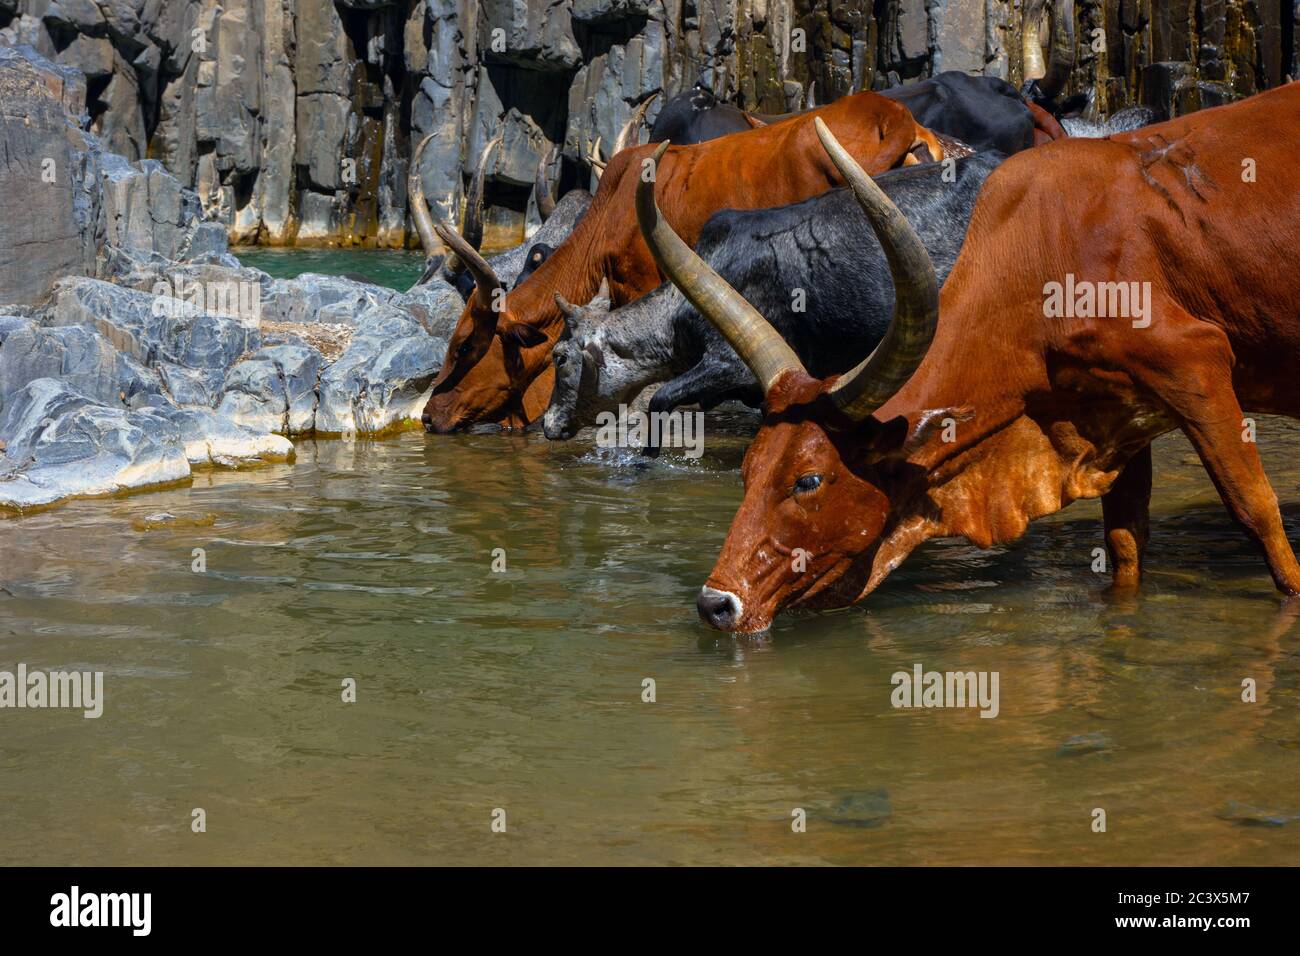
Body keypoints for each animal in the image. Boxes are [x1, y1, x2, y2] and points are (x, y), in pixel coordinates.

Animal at [636, 86, 1300, 634]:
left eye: (809, 479)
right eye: (747, 472)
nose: (717, 604)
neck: (1046, 255)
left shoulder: (1196, 369)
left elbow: (1258, 513)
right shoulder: (1120, 419)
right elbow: (1126, 544)